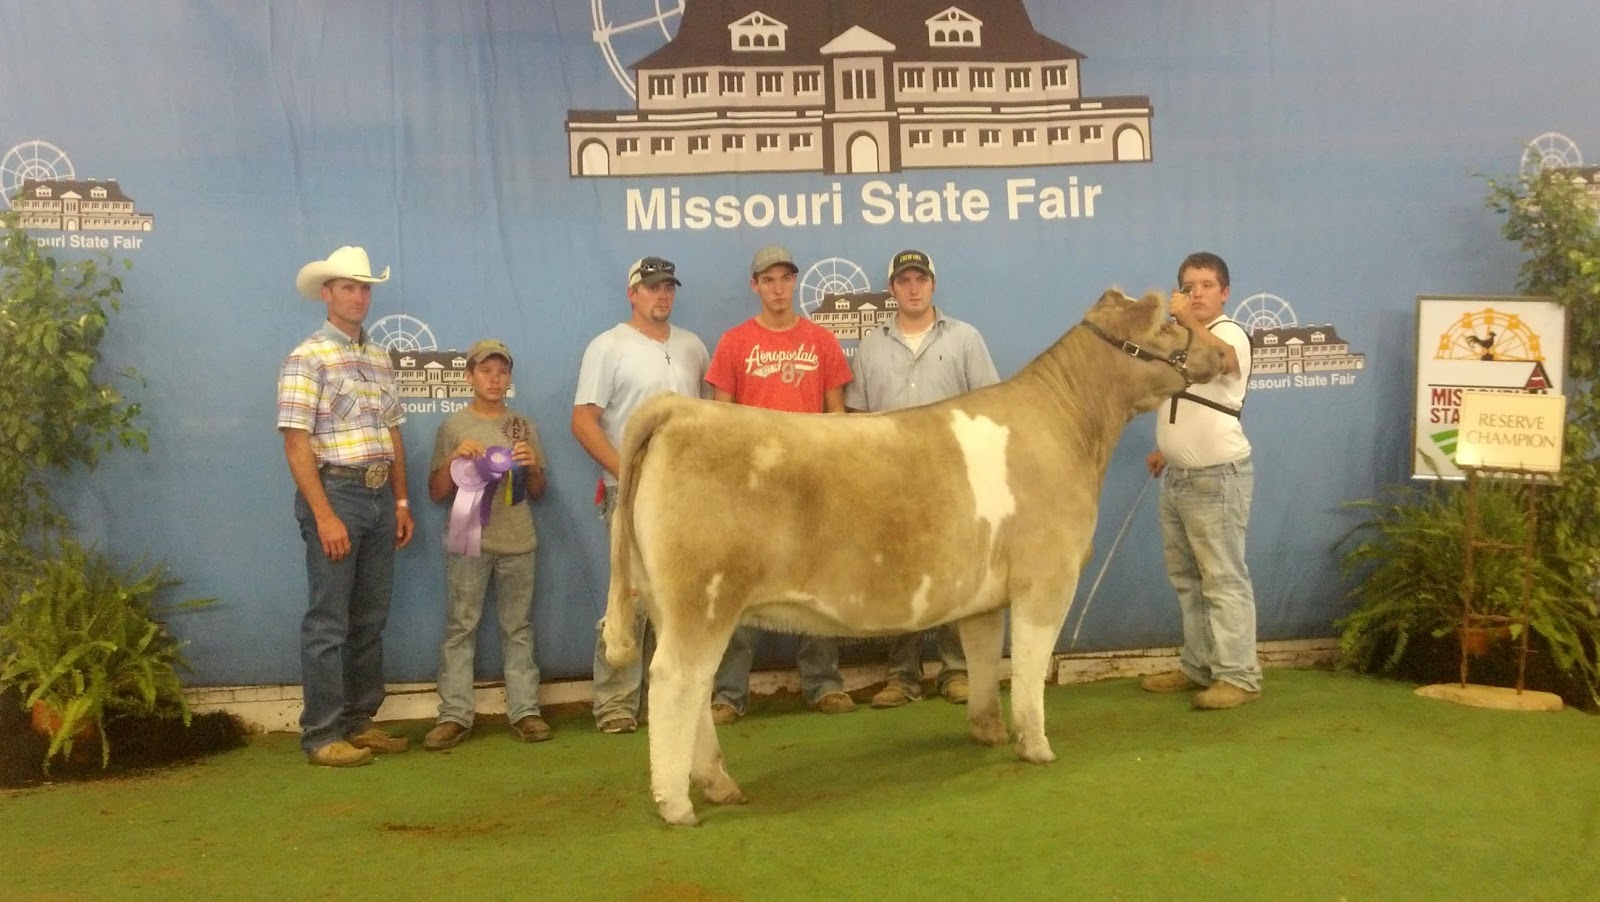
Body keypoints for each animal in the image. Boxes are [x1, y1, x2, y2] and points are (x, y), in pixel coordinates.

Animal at [601, 288, 1225, 825]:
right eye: (1168, 322)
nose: (1222, 353)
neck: (1070, 426)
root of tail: (680, 410)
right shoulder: (1047, 578)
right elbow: (1028, 665)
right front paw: (1036, 744)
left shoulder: (986, 594)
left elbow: (983, 655)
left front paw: (988, 730)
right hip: (702, 600)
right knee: (676, 681)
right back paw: (676, 803)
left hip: (673, 603)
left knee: (693, 686)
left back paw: (718, 785)